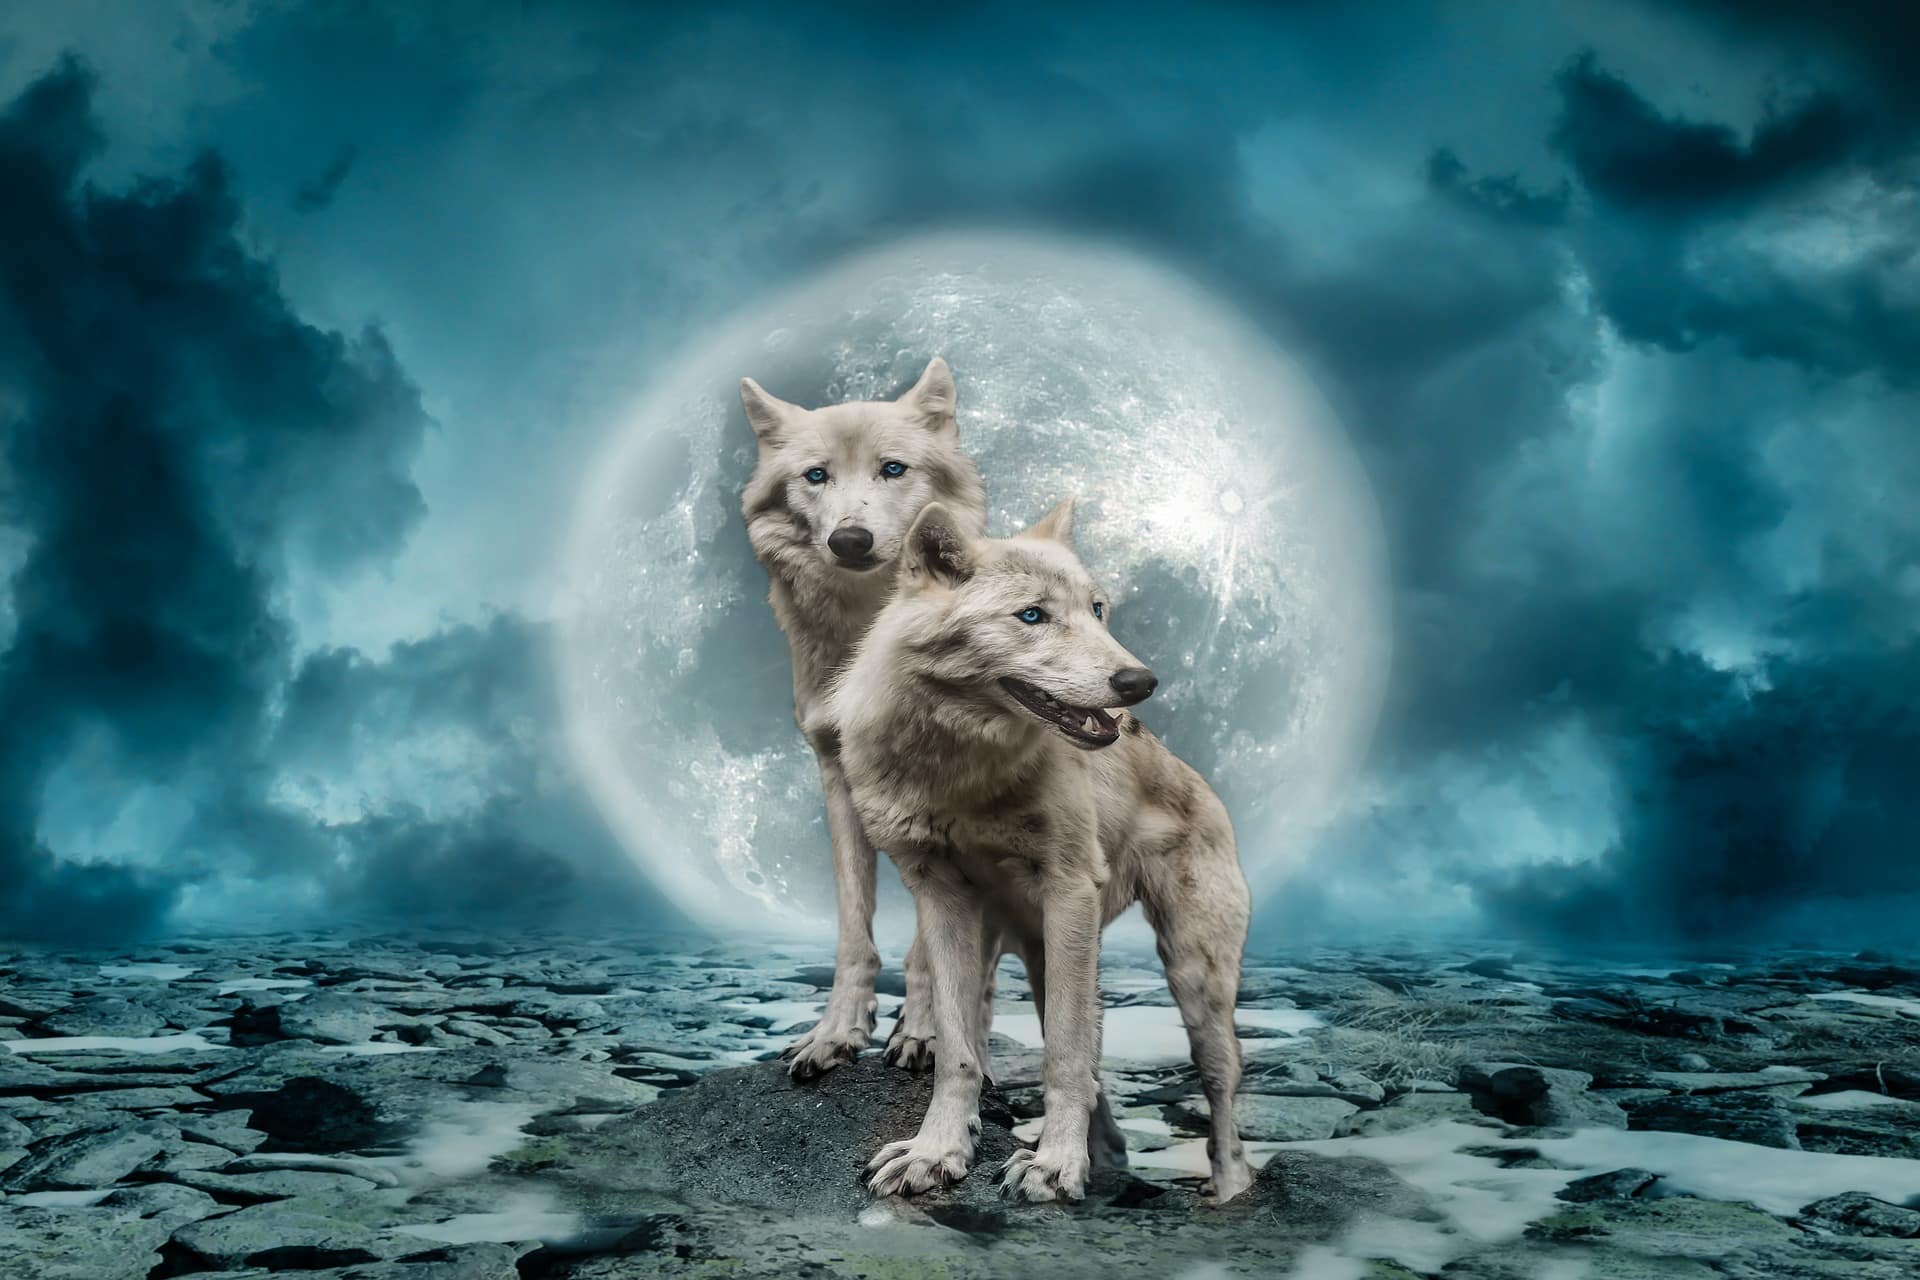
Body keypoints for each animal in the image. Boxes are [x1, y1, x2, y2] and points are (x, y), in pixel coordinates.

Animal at [739, 359, 988, 1079]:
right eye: (816, 475)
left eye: (893, 469)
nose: (849, 539)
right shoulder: (836, 774)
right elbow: (854, 930)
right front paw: (835, 1034)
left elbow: (933, 946)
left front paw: (925, 1032)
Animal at [828, 498, 1254, 1203]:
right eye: (1033, 616)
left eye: (1098, 610)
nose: (1140, 681)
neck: (963, 772)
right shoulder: (939, 897)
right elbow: (958, 1048)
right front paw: (937, 1152)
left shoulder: (1068, 889)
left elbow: (1063, 1056)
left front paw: (1054, 1165)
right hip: (1039, 956)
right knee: (1093, 1076)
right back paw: (1104, 1157)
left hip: (1192, 976)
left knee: (1218, 1092)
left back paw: (1226, 1189)